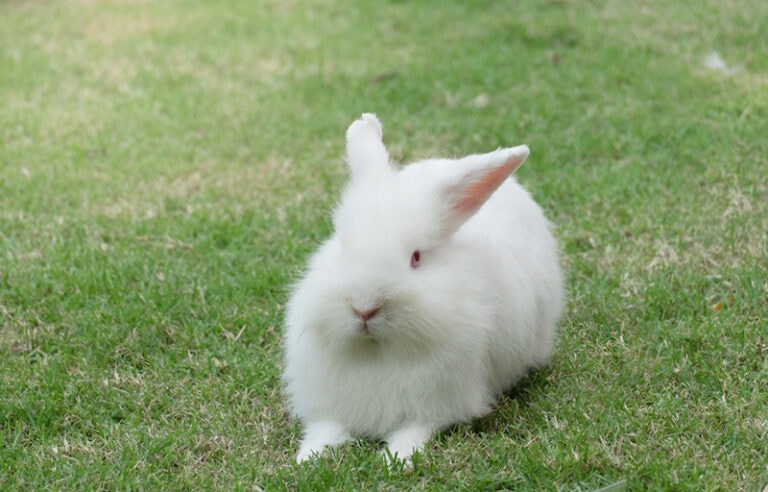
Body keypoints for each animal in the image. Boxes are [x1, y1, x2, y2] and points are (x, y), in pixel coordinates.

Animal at [283, 113, 564, 464]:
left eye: (415, 258)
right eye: (343, 246)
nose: (364, 307)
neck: (377, 352)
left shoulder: (436, 405)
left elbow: (414, 430)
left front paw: (396, 460)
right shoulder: (330, 404)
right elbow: (326, 428)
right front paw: (308, 457)